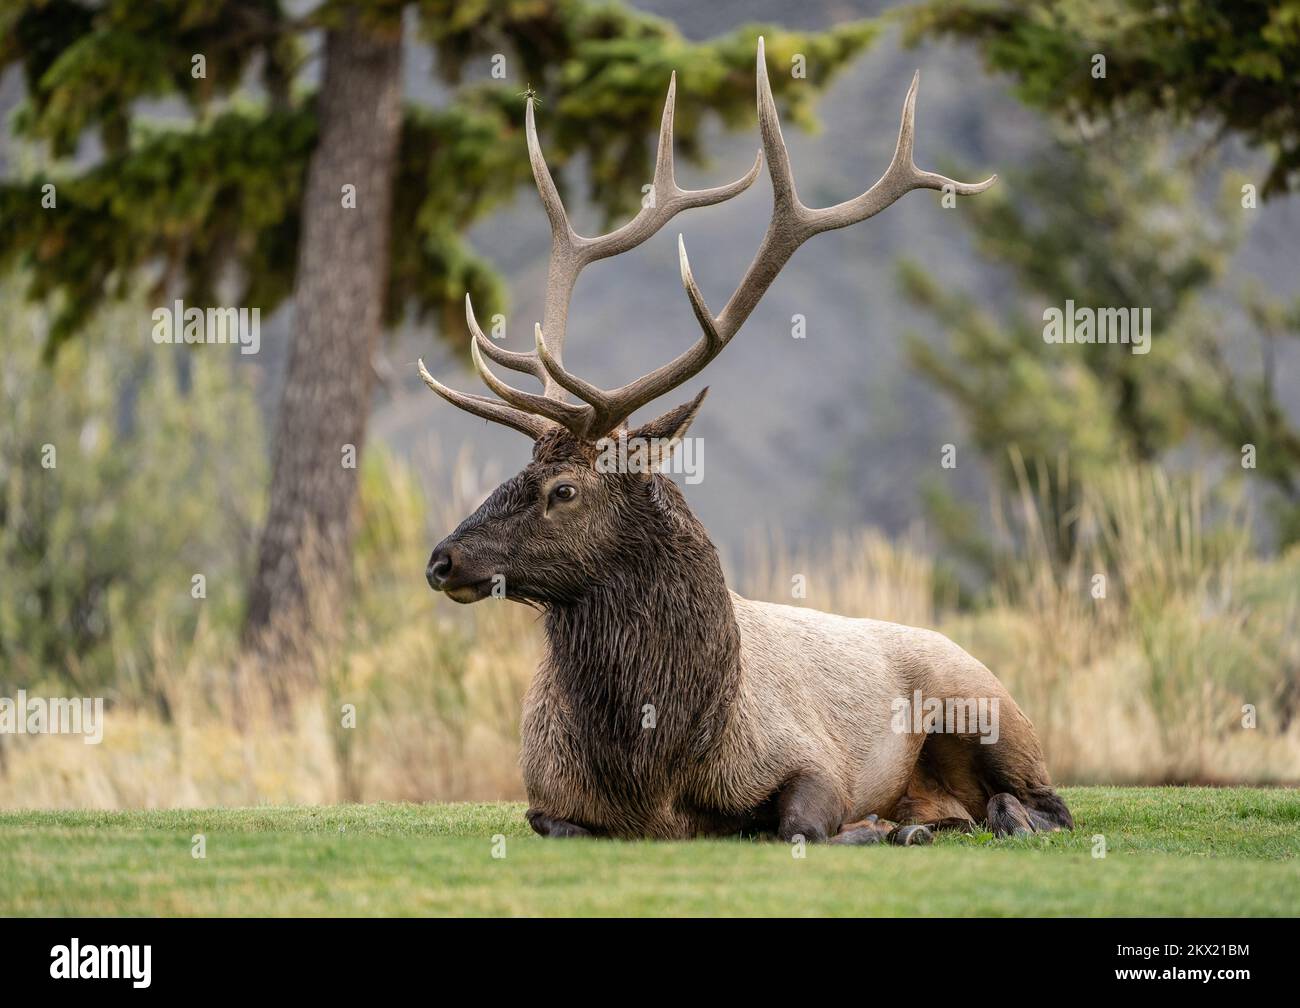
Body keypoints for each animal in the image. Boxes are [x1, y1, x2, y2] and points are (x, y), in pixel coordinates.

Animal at [419, 39, 1073, 846]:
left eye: (562, 489)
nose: (442, 560)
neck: (652, 770)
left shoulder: (810, 759)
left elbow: (803, 822)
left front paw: (865, 826)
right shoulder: (544, 795)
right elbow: (557, 824)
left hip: (986, 702)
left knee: (1048, 803)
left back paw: (960, 820)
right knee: (963, 806)